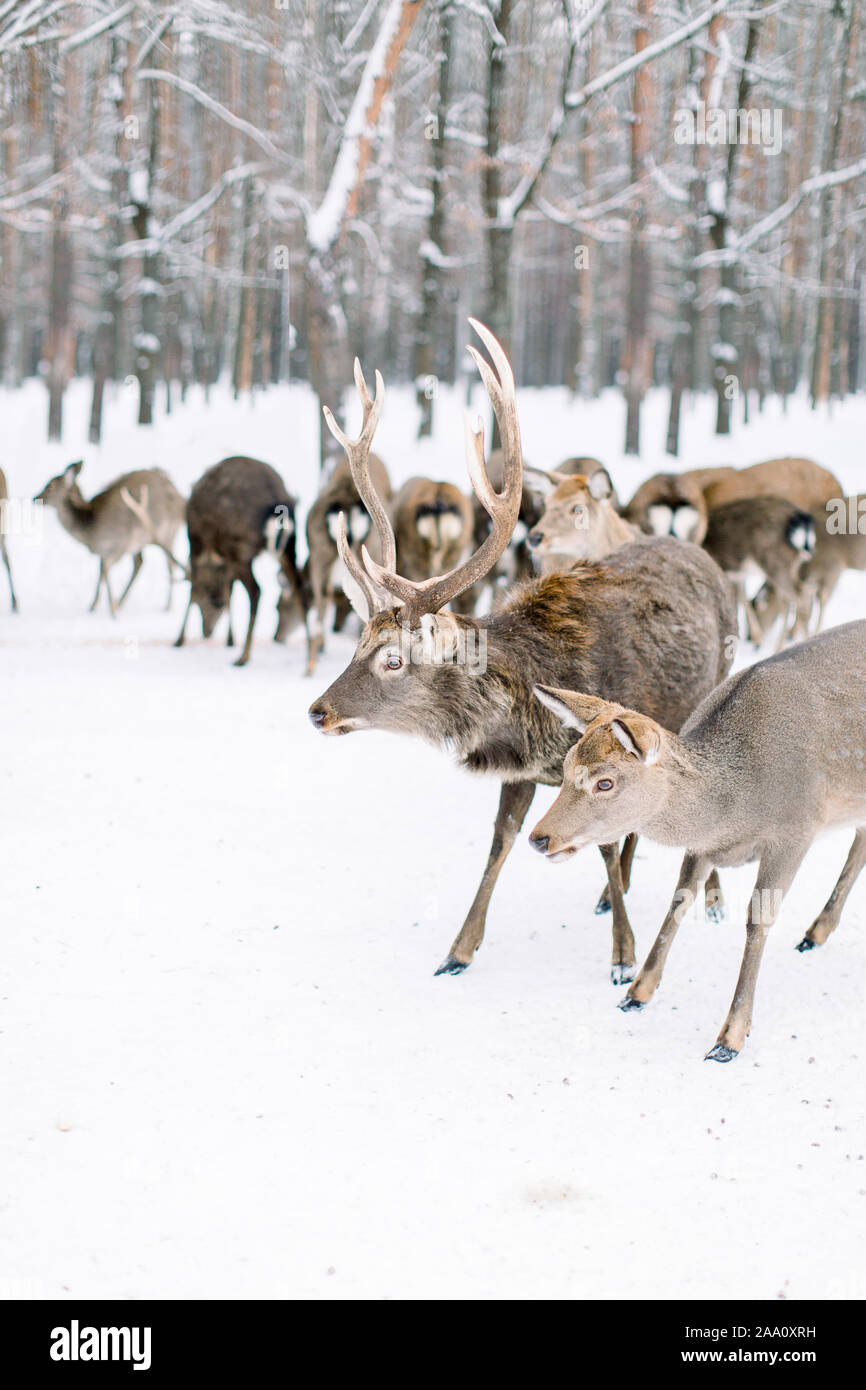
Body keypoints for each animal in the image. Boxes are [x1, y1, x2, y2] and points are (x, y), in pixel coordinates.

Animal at [34, 461, 185, 615]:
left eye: (50, 486)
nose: (35, 498)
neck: (90, 532)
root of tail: (181, 498)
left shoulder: (121, 543)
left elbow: (106, 569)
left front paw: (111, 610)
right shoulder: (104, 552)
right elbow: (101, 572)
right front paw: (93, 607)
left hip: (167, 533)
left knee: (169, 564)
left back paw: (167, 606)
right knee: (140, 562)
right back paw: (121, 602)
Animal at [126, 455, 303, 667]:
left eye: (210, 599)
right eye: (215, 601)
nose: (207, 631)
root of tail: (277, 504)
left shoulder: (196, 540)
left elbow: (194, 588)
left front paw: (179, 640)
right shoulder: (224, 559)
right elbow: (230, 589)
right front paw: (230, 639)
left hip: (239, 548)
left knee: (256, 591)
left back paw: (243, 657)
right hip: (289, 546)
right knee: (299, 586)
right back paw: (312, 654)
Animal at [308, 320, 737, 984]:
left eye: (393, 659)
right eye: (357, 645)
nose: (318, 711)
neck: (536, 717)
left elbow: (603, 842)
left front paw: (623, 955)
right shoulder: (523, 772)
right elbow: (501, 843)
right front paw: (458, 950)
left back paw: (708, 899)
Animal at [527, 618, 866, 1061]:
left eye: (606, 782)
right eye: (567, 766)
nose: (539, 838)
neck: (734, 810)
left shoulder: (797, 826)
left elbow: (757, 920)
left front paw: (729, 1038)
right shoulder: (704, 847)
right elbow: (679, 899)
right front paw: (636, 993)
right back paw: (816, 932)